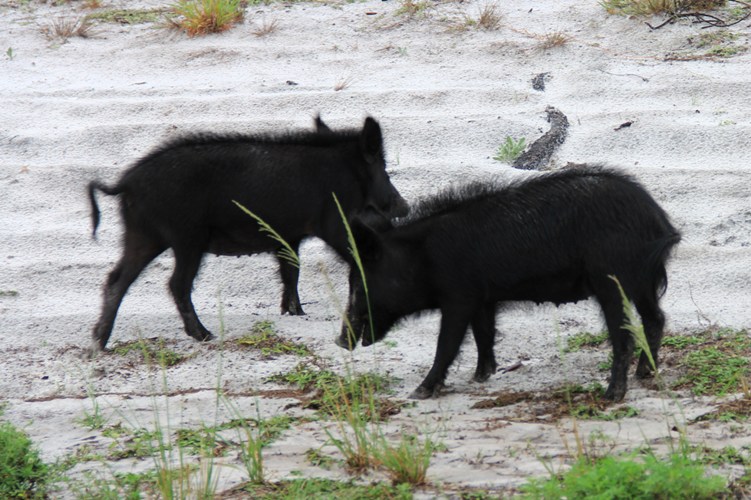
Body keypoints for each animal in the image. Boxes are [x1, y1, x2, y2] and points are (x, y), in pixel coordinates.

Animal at [87, 116, 408, 356]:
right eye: (384, 169)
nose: (404, 207)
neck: (350, 175)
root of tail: (125, 183)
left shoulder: (288, 236)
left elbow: (291, 271)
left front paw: (295, 313)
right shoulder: (334, 223)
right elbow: (348, 259)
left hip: (142, 235)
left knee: (117, 279)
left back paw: (99, 342)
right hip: (186, 238)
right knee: (176, 283)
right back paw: (205, 335)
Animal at [338, 165, 680, 402]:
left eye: (358, 282)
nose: (340, 341)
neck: (421, 256)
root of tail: (658, 221)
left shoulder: (459, 297)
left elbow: (447, 344)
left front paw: (419, 393)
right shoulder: (482, 298)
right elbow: (484, 334)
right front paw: (480, 376)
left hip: (611, 280)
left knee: (624, 335)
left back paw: (611, 395)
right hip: (641, 282)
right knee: (656, 318)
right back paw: (645, 373)